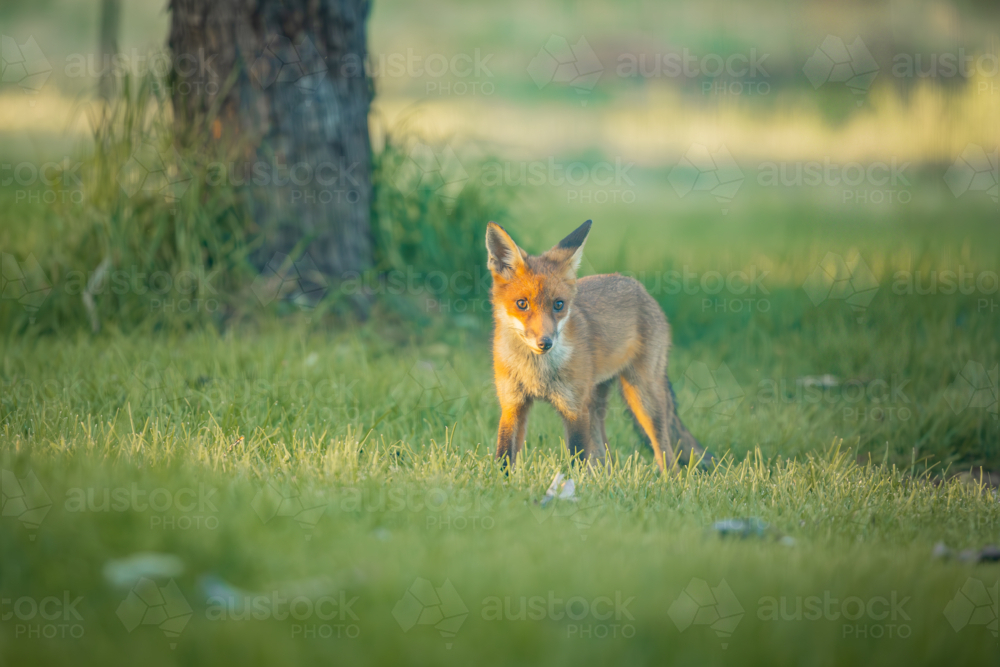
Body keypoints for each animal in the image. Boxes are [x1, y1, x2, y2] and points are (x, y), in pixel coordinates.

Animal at [486, 219, 712, 473]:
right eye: (522, 304)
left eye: (558, 305)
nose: (545, 343)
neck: (537, 372)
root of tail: (640, 288)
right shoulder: (512, 405)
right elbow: (504, 455)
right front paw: (503, 480)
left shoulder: (574, 410)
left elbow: (576, 459)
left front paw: (569, 483)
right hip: (596, 403)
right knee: (606, 454)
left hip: (642, 397)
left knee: (665, 454)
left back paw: (668, 479)